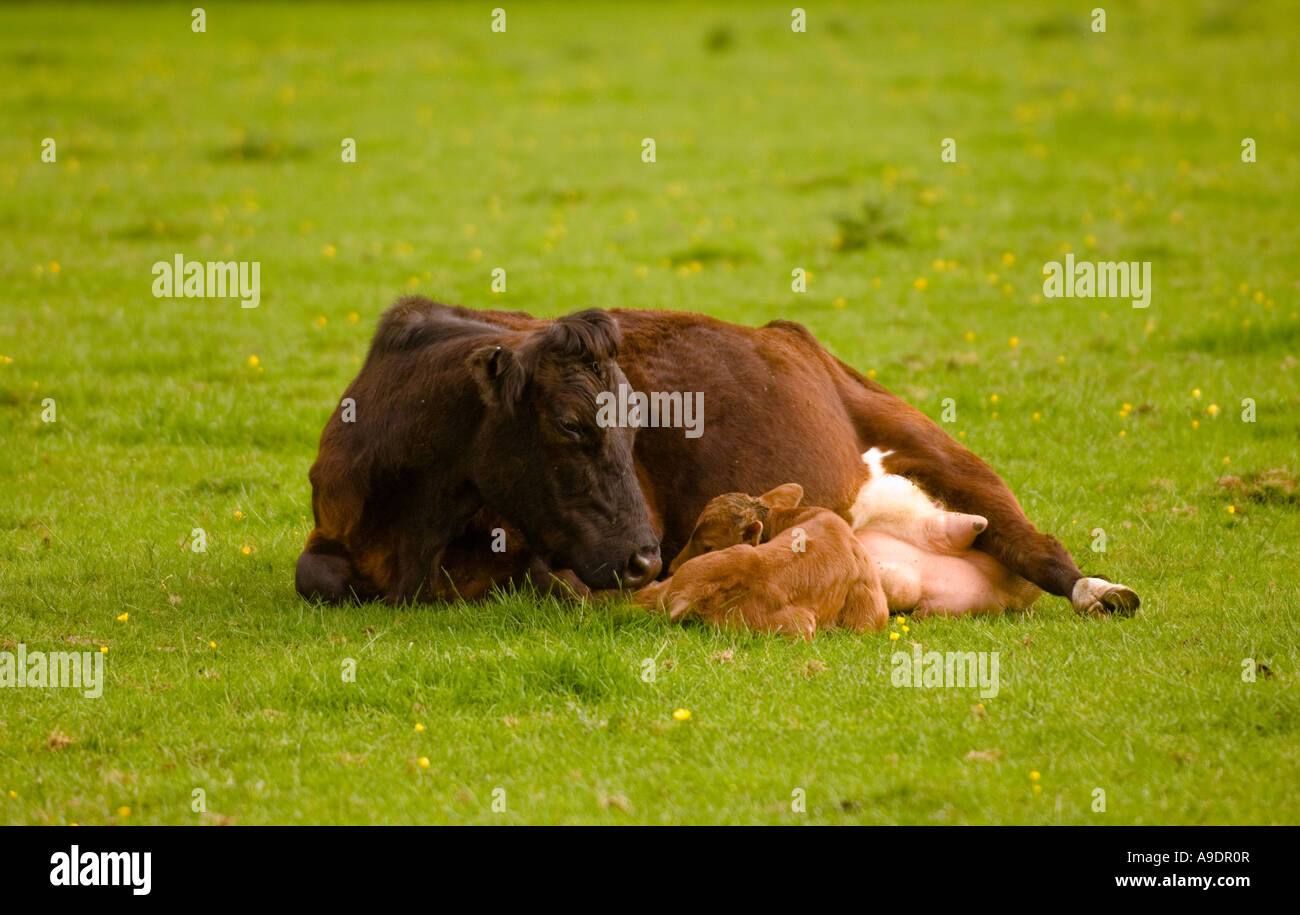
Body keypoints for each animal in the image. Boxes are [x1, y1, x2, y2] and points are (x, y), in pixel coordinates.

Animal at [295, 298, 1139, 618]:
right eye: (570, 425)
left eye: (637, 427)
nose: (645, 558)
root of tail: (786, 332)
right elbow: (318, 575)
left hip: (928, 439)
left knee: (1036, 541)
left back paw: (1099, 590)